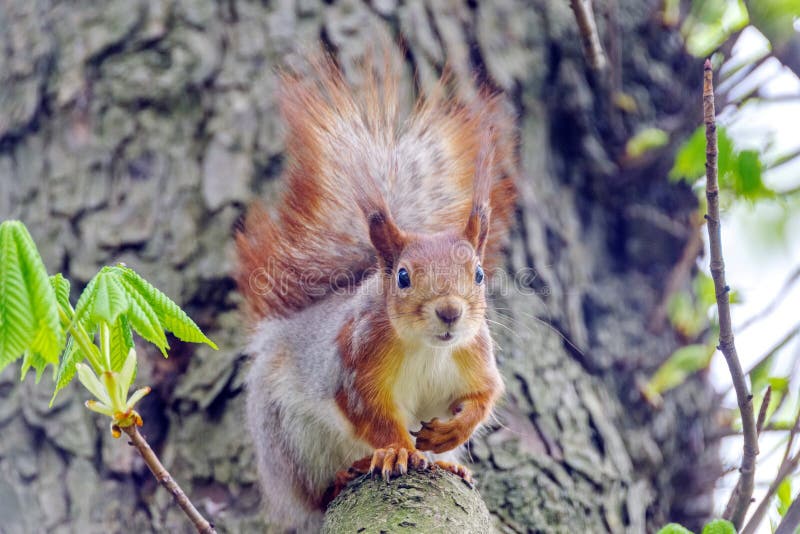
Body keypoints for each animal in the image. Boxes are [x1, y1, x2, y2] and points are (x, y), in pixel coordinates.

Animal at [235, 53, 516, 531]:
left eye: (478, 274)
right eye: (402, 277)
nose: (449, 312)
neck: (428, 348)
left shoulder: (474, 356)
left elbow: (484, 396)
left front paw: (452, 433)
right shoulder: (355, 360)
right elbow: (369, 413)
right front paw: (399, 448)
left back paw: (446, 462)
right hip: (288, 444)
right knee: (314, 495)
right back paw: (349, 472)